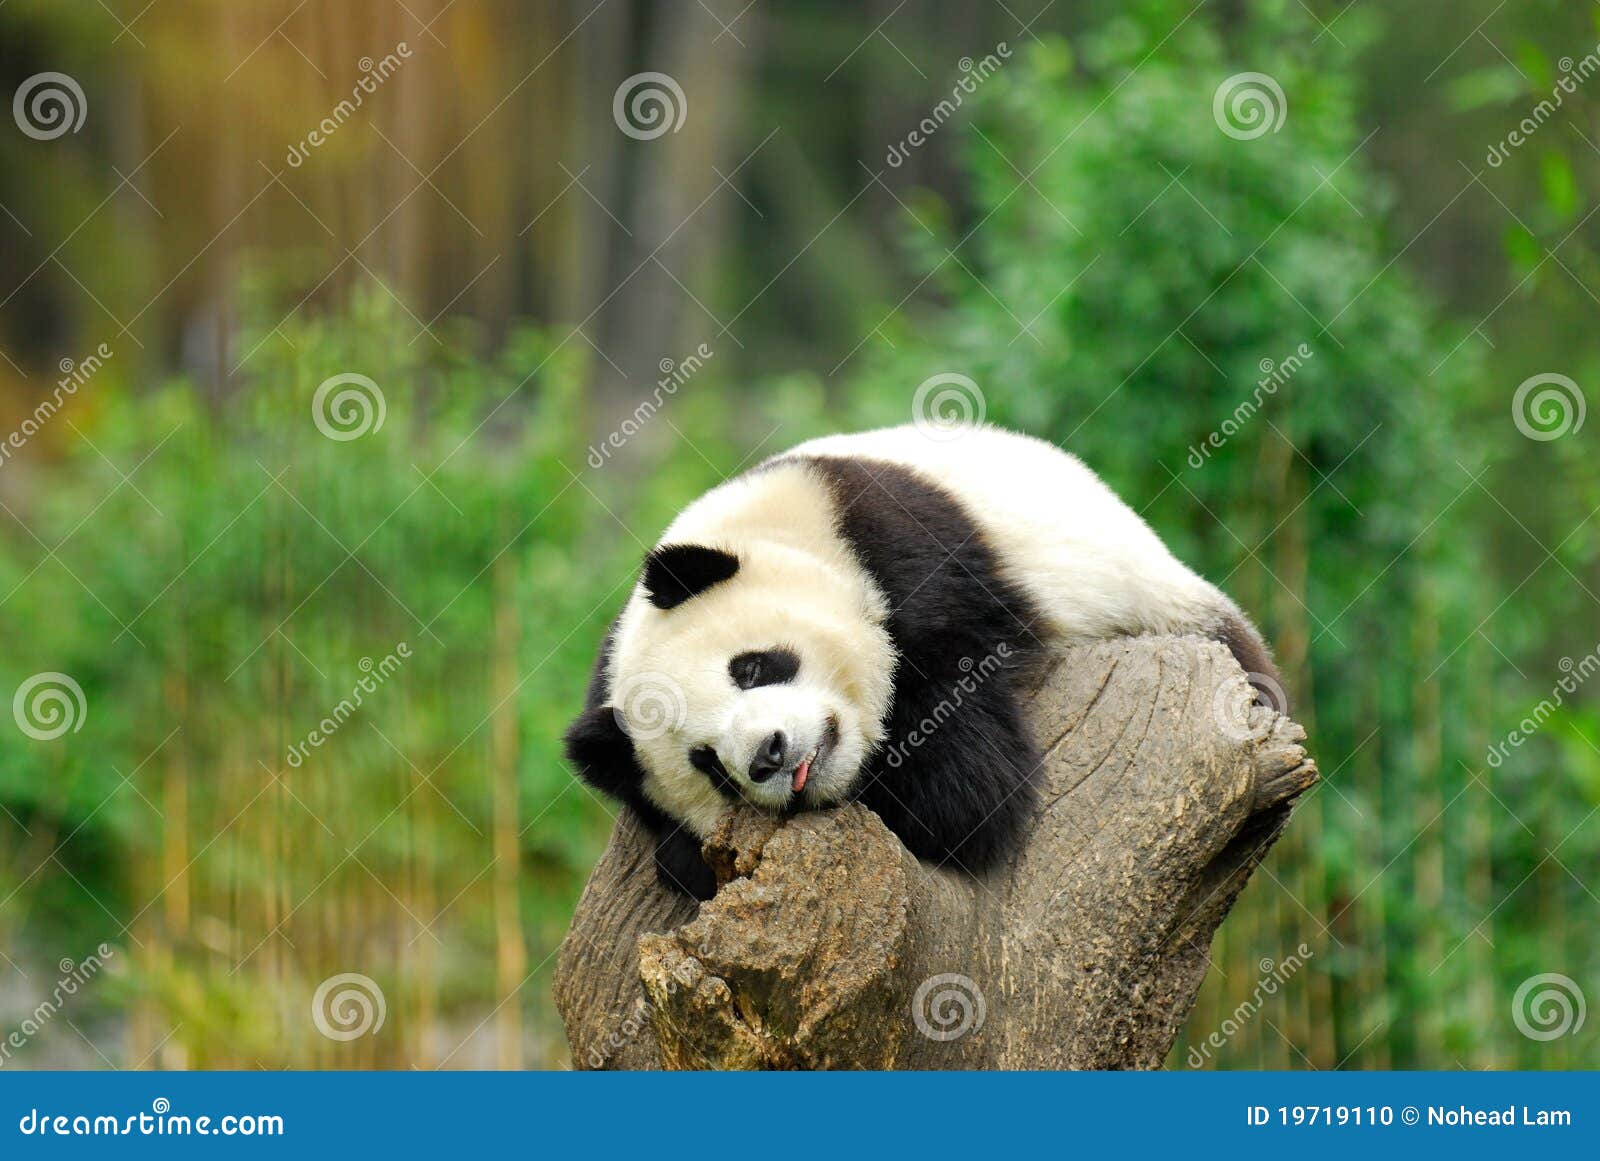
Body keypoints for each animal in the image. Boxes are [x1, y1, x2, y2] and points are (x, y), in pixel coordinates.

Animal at [563, 423, 1281, 901]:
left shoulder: (910, 555)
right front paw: (681, 854)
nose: (769, 754)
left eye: (753, 667)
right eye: (707, 763)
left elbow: (968, 793)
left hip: (1151, 594)